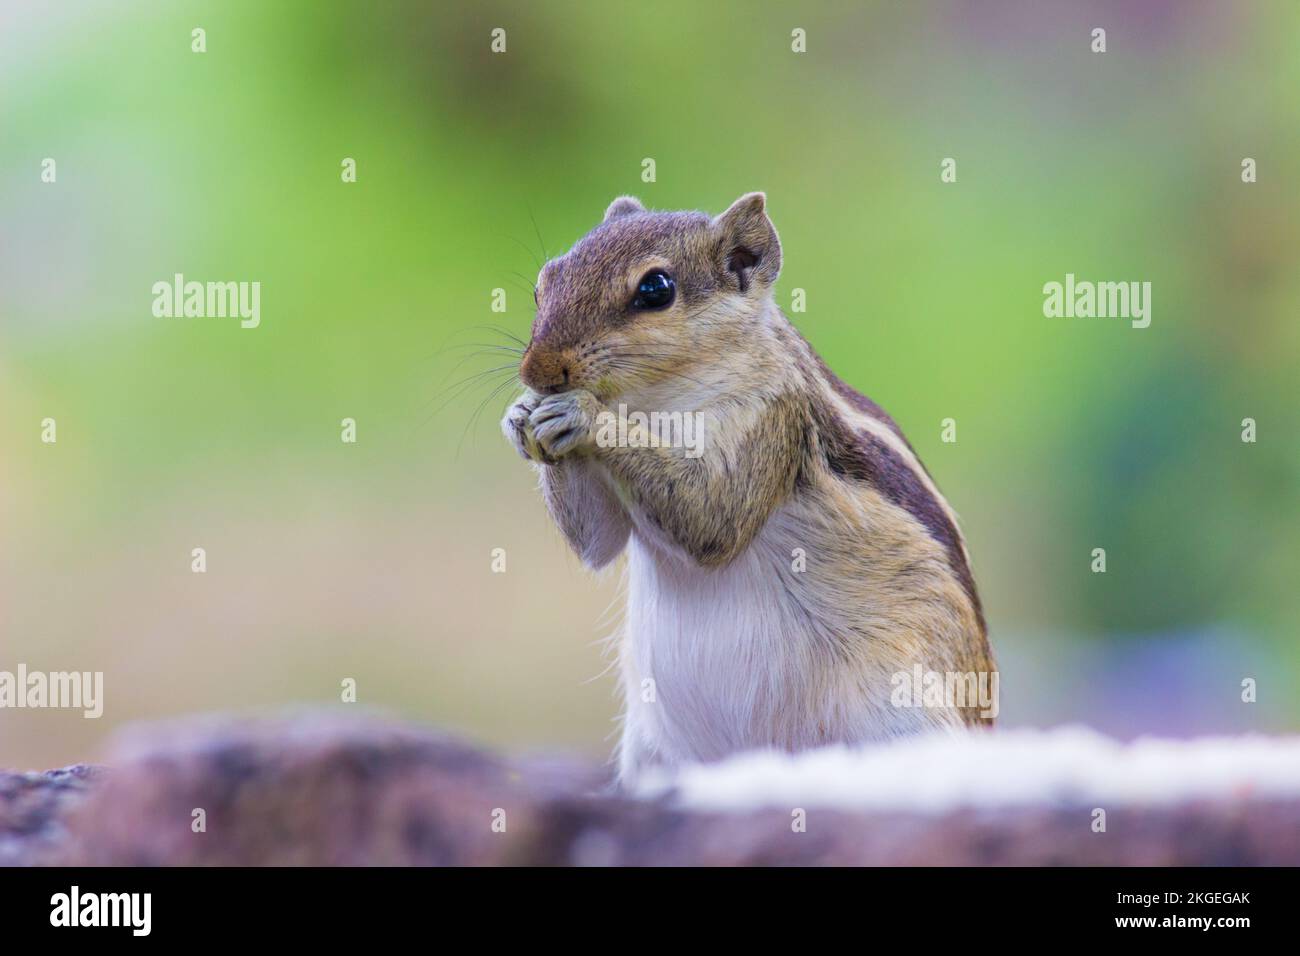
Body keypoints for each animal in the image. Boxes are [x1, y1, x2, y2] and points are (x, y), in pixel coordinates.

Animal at [501, 193, 995, 784]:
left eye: (655, 289)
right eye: (543, 283)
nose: (538, 372)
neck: (654, 404)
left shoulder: (770, 419)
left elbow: (713, 519)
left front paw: (582, 415)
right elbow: (598, 544)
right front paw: (521, 415)